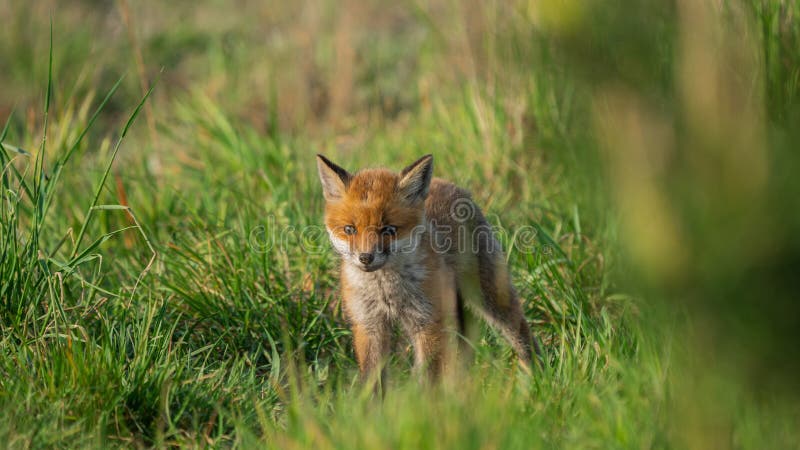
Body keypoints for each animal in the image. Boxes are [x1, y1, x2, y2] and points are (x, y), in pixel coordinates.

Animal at [316, 154, 540, 386]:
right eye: (349, 229)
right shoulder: (369, 324)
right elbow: (372, 379)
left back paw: (537, 376)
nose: (365, 258)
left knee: (520, 332)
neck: (386, 290)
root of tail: (446, 183)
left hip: (491, 297)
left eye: (388, 230)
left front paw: (424, 397)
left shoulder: (428, 321)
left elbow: (429, 376)